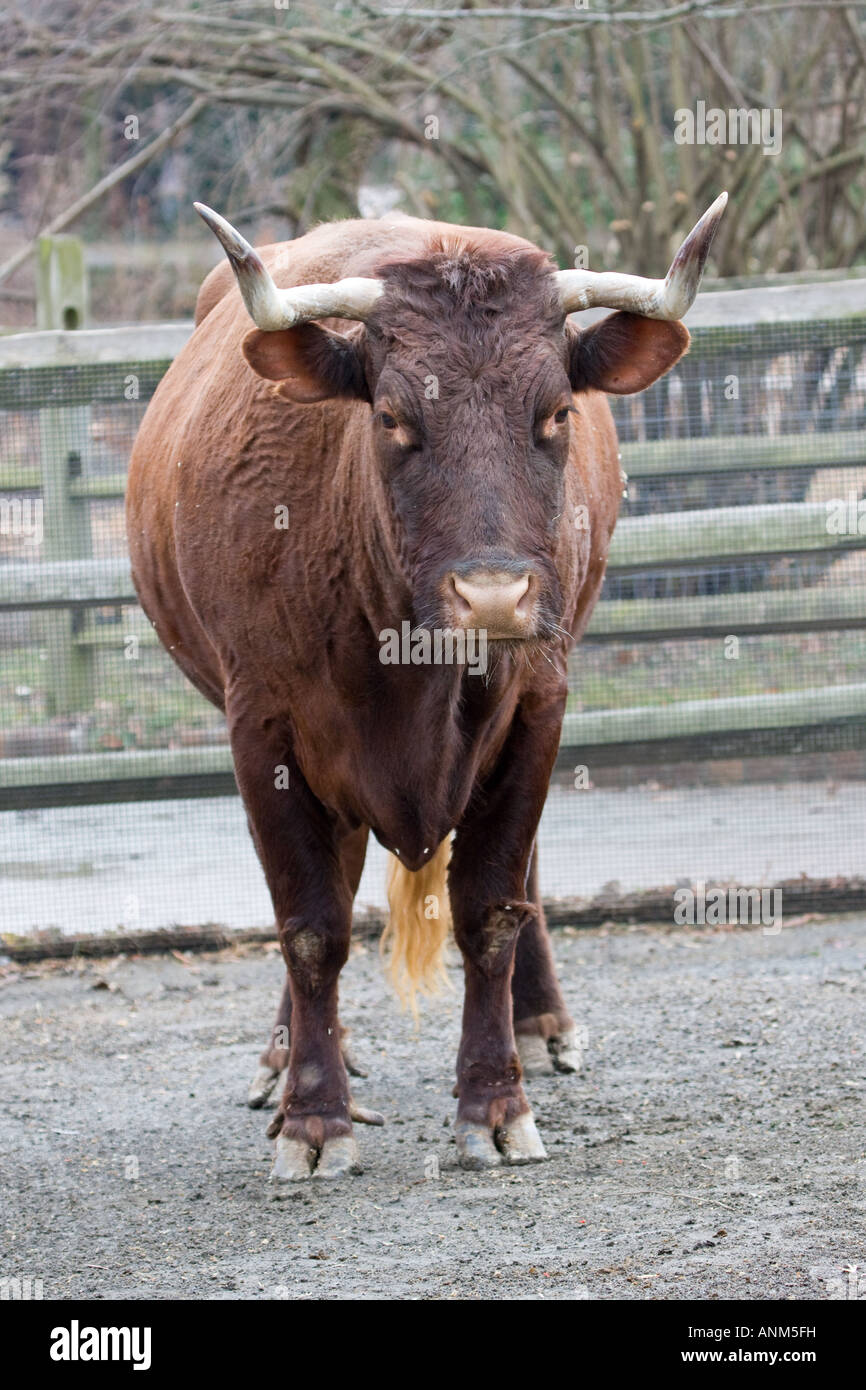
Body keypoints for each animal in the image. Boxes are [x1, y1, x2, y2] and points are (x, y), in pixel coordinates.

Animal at [126, 193, 726, 1180]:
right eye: (393, 418)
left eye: (556, 413)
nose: (493, 595)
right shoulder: (263, 731)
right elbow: (310, 924)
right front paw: (314, 1117)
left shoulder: (536, 707)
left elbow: (491, 907)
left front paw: (495, 1104)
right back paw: (286, 1060)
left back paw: (543, 1023)